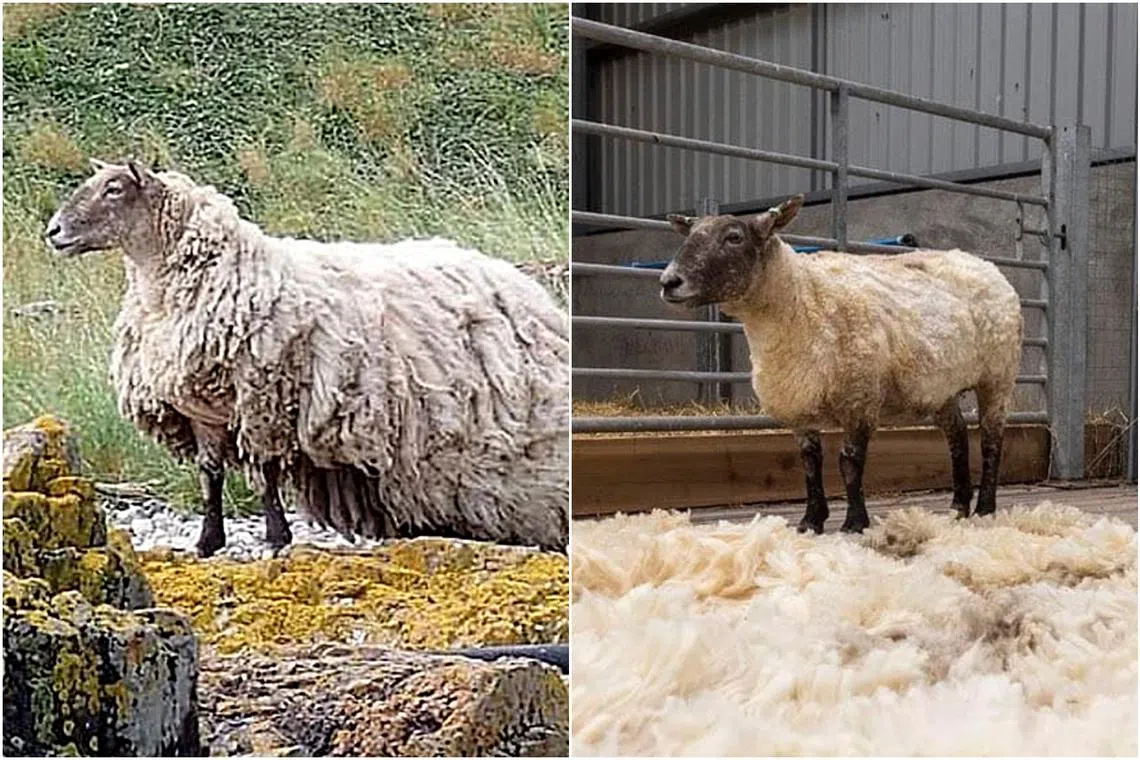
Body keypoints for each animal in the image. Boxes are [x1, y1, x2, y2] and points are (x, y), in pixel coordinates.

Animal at [45, 159, 569, 557]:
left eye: (114, 188)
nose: (53, 231)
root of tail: (527, 290)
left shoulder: (260, 401)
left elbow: (262, 478)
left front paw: (278, 539)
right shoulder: (202, 411)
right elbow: (211, 477)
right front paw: (208, 542)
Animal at [660, 194, 1023, 533]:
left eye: (734, 237)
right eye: (690, 234)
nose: (668, 282)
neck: (803, 300)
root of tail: (982, 263)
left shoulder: (859, 398)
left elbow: (849, 462)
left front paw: (854, 521)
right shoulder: (799, 405)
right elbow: (810, 463)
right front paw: (810, 521)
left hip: (999, 375)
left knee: (991, 439)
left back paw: (985, 508)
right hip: (941, 387)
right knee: (958, 437)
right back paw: (958, 507)